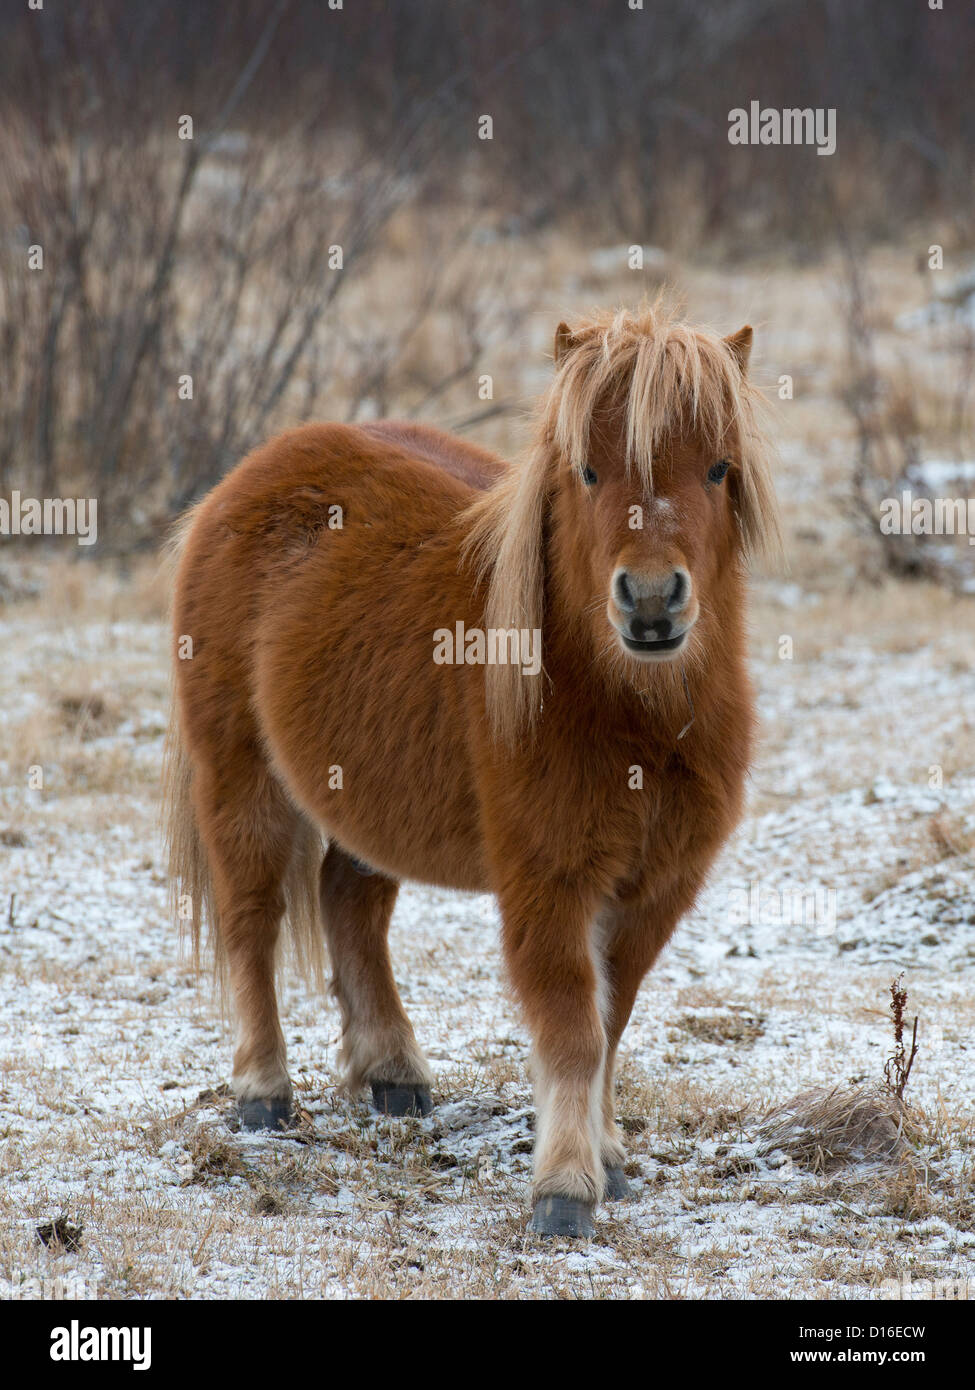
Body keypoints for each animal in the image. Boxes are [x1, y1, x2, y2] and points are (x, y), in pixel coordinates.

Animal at [164, 302, 781, 1238]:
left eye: (716, 468)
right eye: (587, 470)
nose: (648, 602)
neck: (630, 717)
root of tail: (248, 476)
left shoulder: (656, 889)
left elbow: (613, 1022)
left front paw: (608, 1160)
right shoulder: (546, 882)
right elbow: (573, 1028)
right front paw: (563, 1190)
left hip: (362, 795)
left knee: (349, 906)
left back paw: (393, 1074)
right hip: (242, 780)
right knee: (251, 920)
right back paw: (263, 1094)